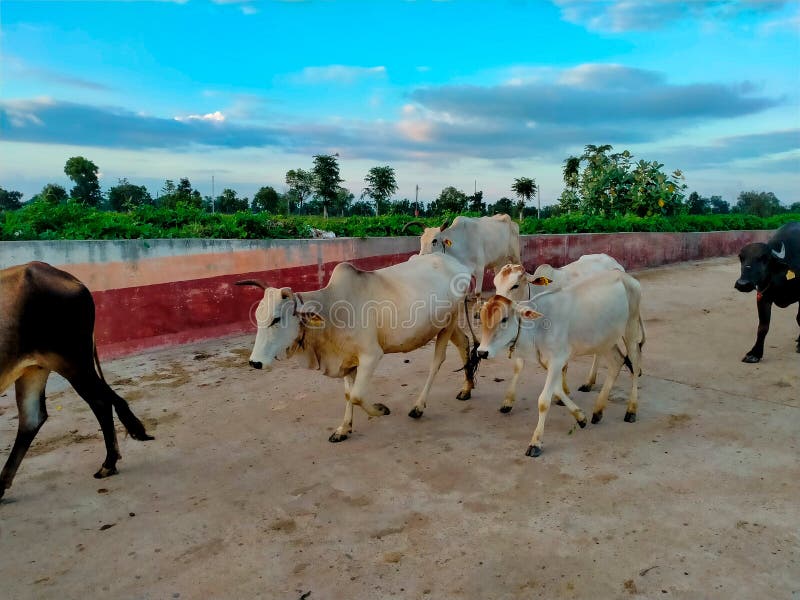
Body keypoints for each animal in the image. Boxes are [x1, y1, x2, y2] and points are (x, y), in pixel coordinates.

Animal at [236, 253, 478, 442]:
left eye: (276, 319)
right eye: (257, 316)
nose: (255, 362)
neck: (332, 310)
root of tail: (460, 265)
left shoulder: (371, 356)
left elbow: (357, 395)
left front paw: (381, 410)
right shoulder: (345, 358)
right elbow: (348, 394)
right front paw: (344, 429)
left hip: (448, 322)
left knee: (437, 362)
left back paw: (418, 406)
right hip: (447, 325)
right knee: (464, 342)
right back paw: (467, 389)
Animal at [492, 255, 627, 412]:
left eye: (515, 285)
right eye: (495, 284)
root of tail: (612, 260)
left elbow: (562, 366)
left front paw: (561, 394)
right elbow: (518, 366)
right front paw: (508, 401)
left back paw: (589, 382)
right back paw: (590, 382)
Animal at [735, 222, 800, 363]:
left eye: (764, 258)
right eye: (741, 258)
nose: (743, 284)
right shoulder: (763, 296)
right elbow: (763, 327)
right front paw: (754, 353)